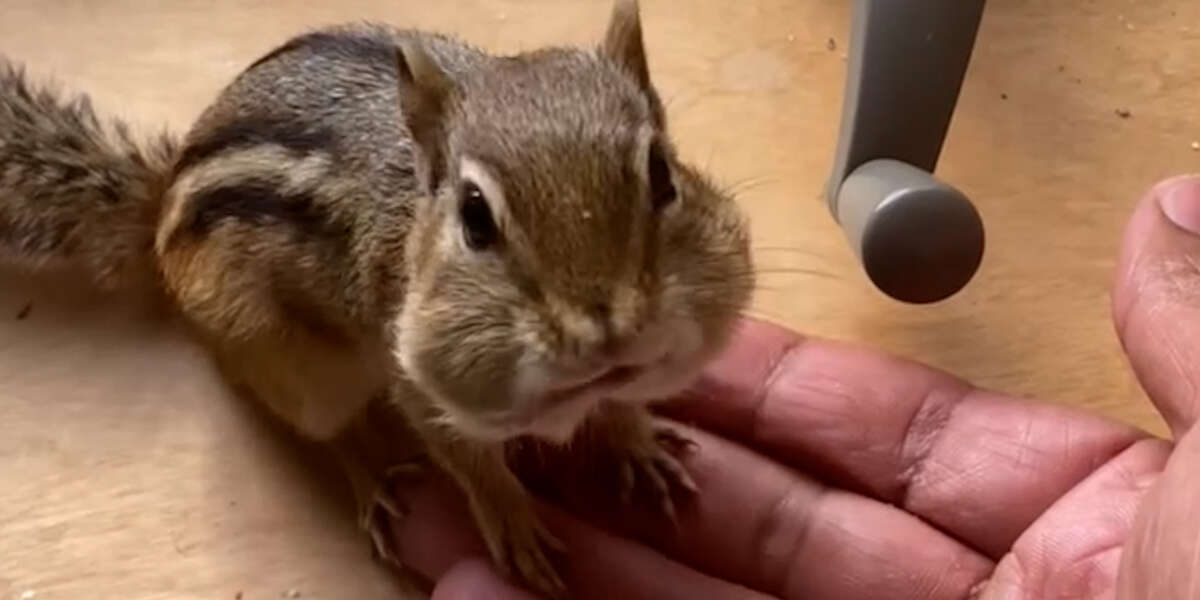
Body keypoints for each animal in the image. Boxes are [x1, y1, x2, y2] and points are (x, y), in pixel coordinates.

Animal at [0, 0, 754, 596]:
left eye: (663, 173)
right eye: (474, 215)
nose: (609, 336)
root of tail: (159, 210)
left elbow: (621, 405)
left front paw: (638, 444)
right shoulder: (415, 383)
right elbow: (469, 462)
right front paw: (514, 522)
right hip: (303, 373)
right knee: (332, 434)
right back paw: (378, 481)